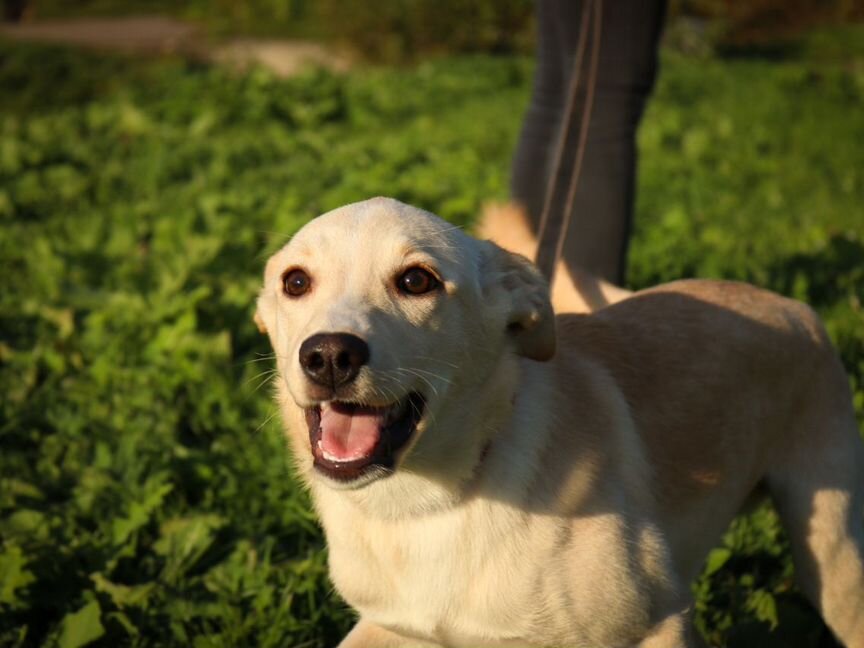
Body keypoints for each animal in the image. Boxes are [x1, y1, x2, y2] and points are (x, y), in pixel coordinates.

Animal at [256, 197, 864, 648]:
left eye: (415, 281)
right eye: (295, 282)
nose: (329, 356)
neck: (428, 507)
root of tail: (791, 305)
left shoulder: (656, 623)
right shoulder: (391, 626)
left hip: (834, 558)